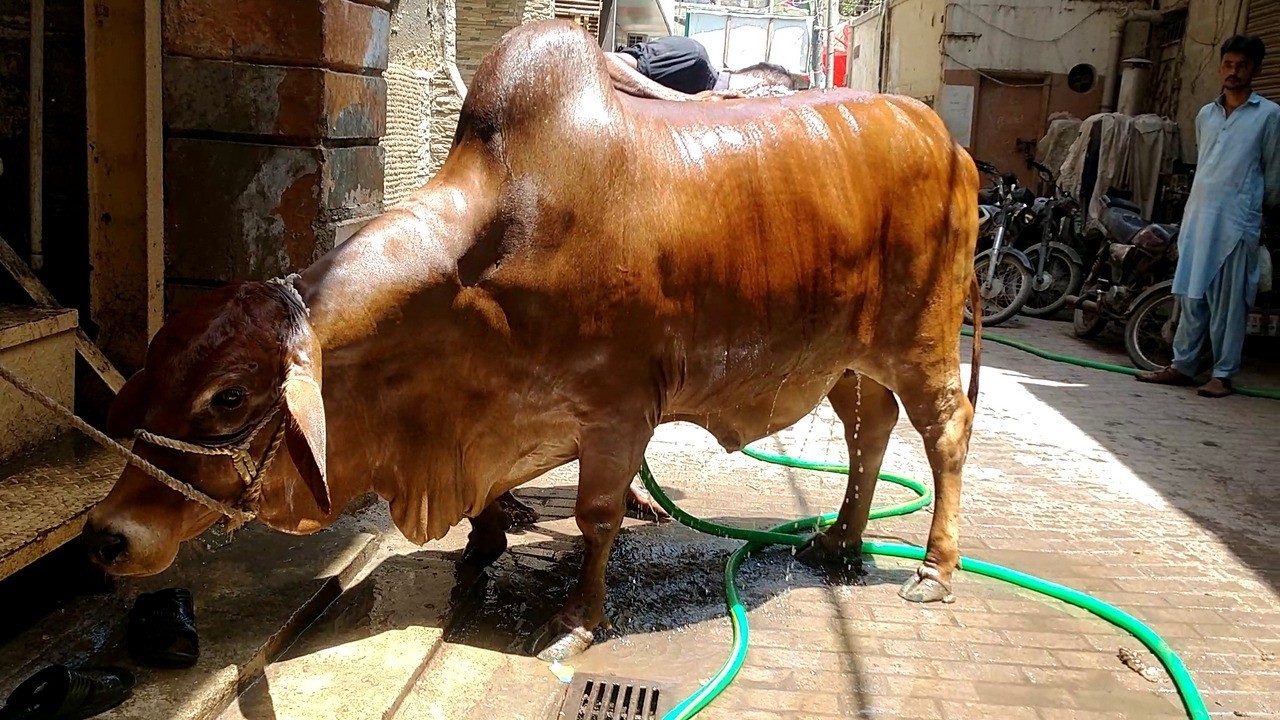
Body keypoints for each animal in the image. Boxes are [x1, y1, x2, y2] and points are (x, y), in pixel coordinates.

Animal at [81, 19, 982, 662]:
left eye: (228, 397)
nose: (107, 536)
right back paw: (838, 542)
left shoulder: (618, 411)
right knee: (870, 431)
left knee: (944, 432)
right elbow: (494, 499)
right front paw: (482, 545)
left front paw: (578, 619)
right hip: (848, 357)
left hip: (919, 341)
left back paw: (934, 572)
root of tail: (952, 145)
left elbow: (596, 517)